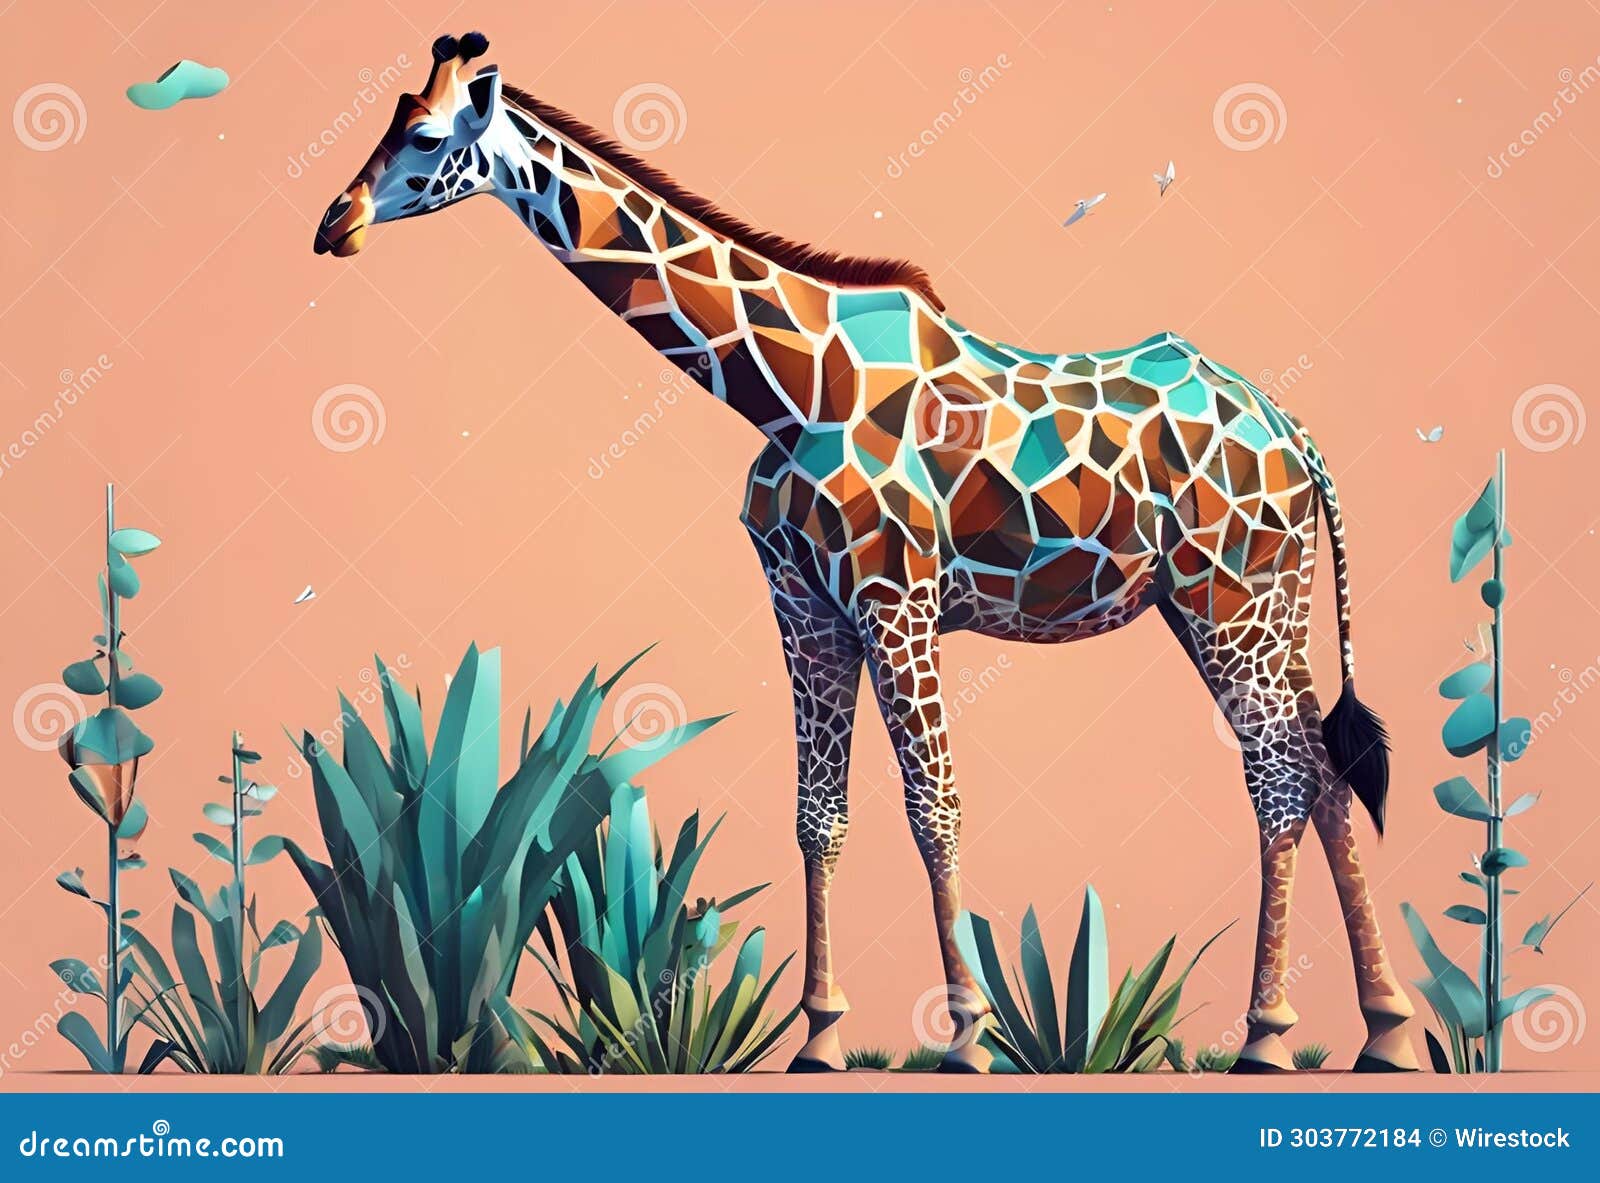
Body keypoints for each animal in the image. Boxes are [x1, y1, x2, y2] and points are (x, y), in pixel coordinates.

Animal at [315, 32, 1419, 1074]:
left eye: (425, 138)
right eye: (390, 120)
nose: (335, 225)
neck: (788, 386)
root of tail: (1294, 434)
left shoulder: (898, 600)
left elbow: (934, 806)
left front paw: (967, 1034)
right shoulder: (806, 606)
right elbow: (819, 812)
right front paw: (819, 1035)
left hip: (1227, 595)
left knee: (1279, 778)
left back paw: (1269, 1033)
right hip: (1256, 604)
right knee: (1321, 768)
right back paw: (1385, 1027)